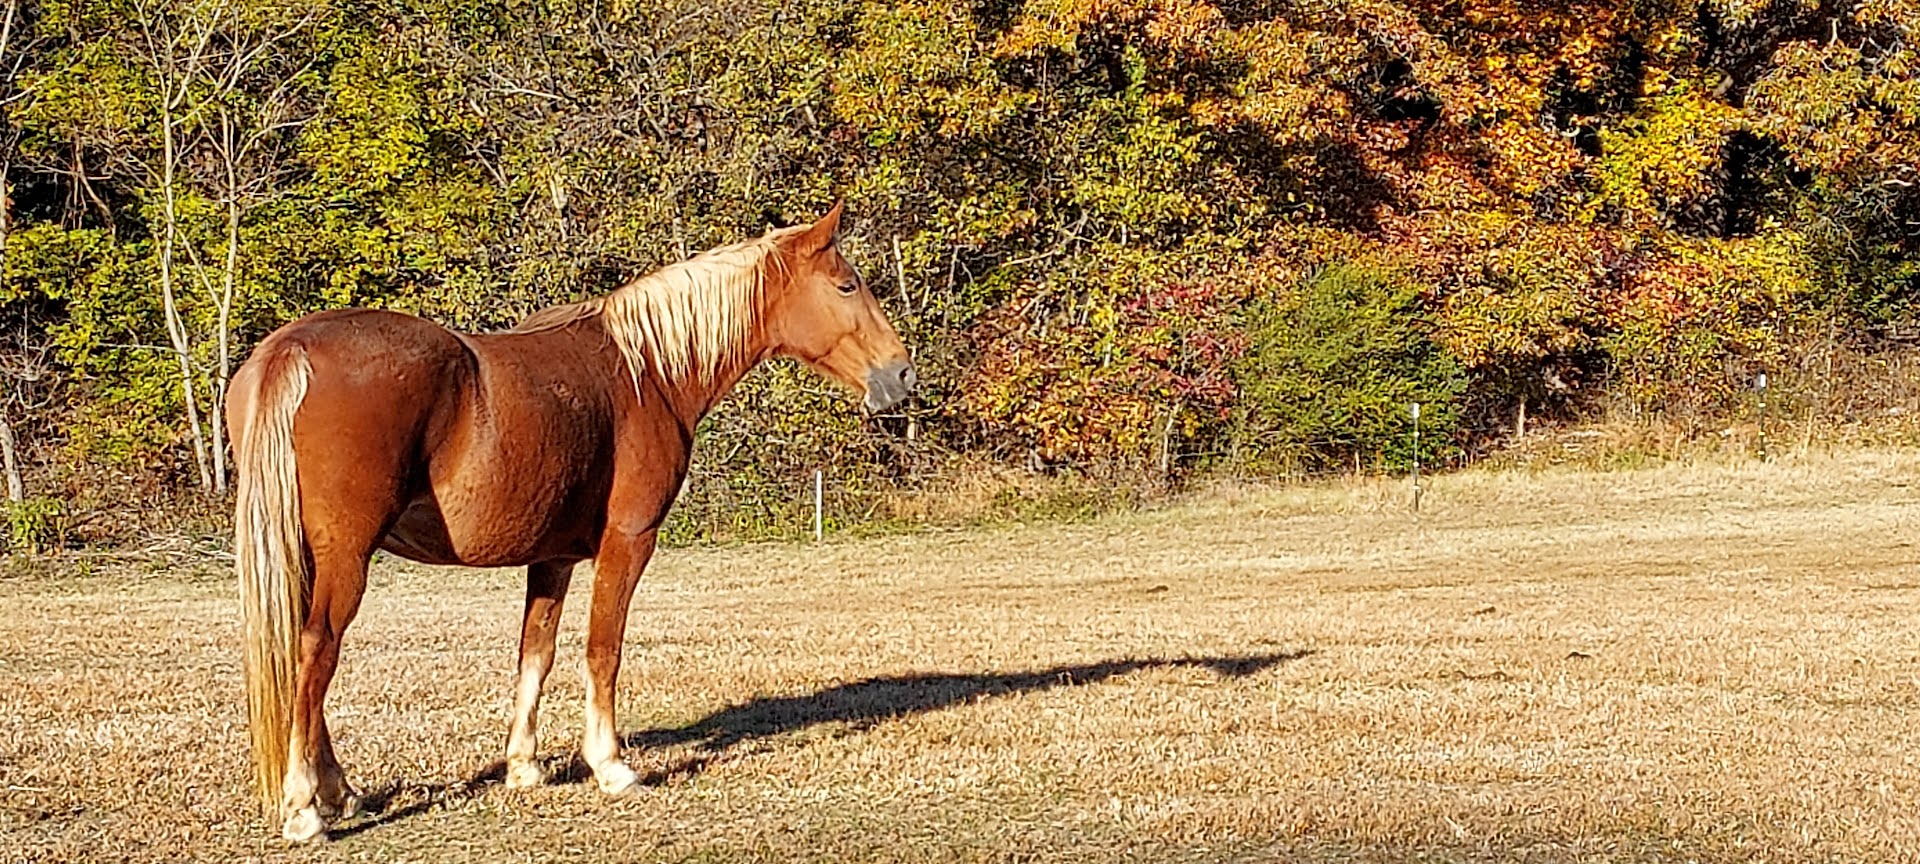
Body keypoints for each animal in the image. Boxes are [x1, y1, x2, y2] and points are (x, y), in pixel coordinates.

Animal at [224, 204, 914, 842]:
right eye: (847, 284)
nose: (901, 374)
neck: (646, 372)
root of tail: (291, 348)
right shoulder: (628, 542)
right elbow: (602, 650)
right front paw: (612, 766)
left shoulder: (551, 556)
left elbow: (537, 652)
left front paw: (524, 767)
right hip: (346, 555)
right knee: (316, 652)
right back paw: (306, 810)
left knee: (299, 658)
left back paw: (341, 793)